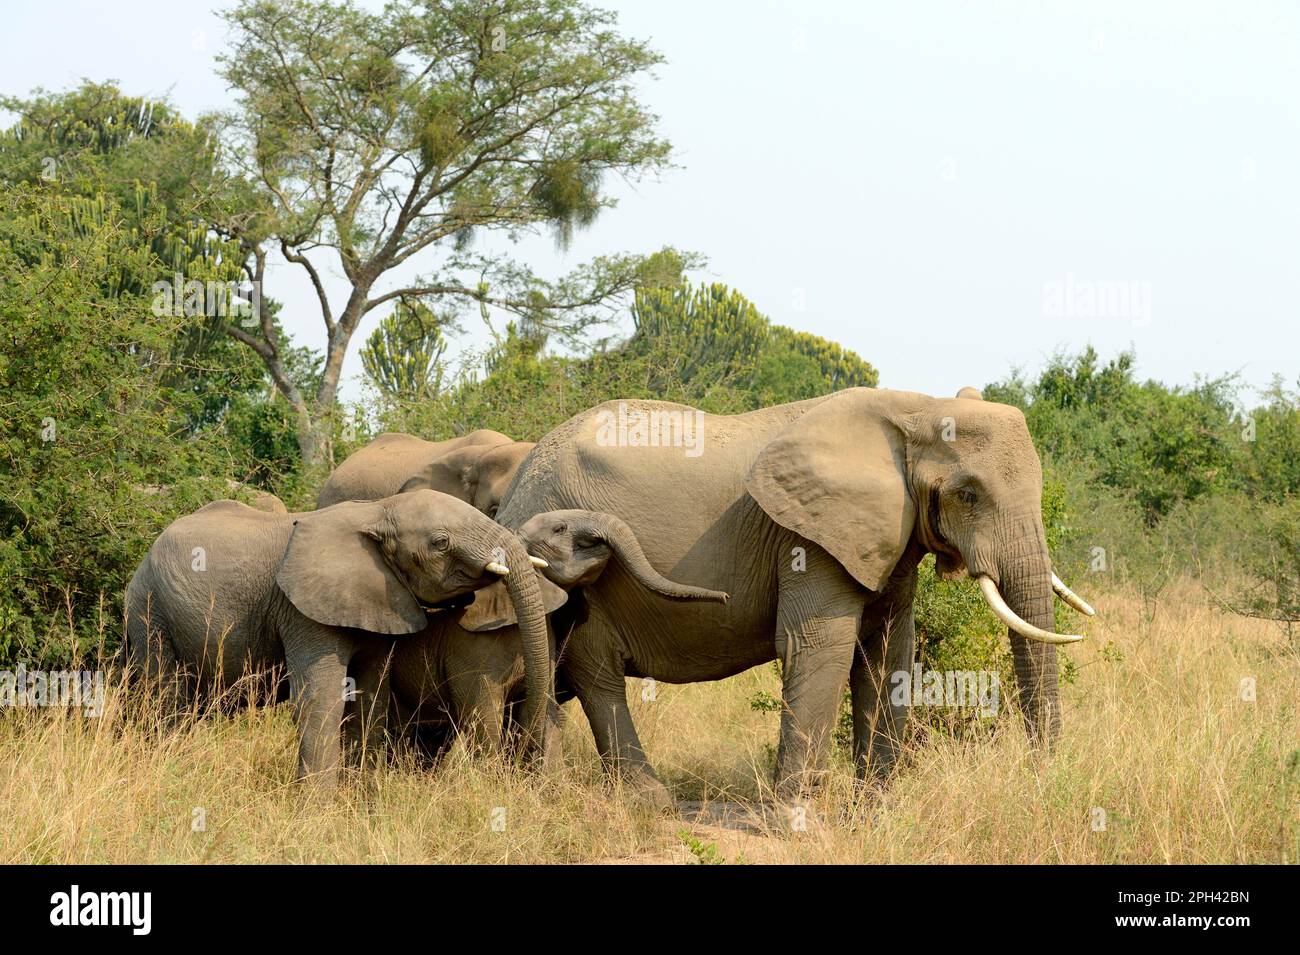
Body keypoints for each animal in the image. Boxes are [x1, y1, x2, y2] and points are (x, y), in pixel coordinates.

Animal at [123, 489, 555, 790]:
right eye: (440, 543)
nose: (523, 762)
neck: (376, 510)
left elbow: (369, 699)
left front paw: (360, 798)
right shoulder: (300, 610)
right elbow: (322, 698)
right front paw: (317, 811)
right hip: (150, 609)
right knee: (166, 698)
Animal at [497, 386, 1095, 804]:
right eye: (968, 495)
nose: (1042, 782)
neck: (916, 408)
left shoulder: (885, 535)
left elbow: (888, 654)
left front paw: (874, 810)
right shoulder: (808, 538)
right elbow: (820, 646)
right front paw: (795, 820)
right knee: (598, 674)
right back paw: (652, 803)